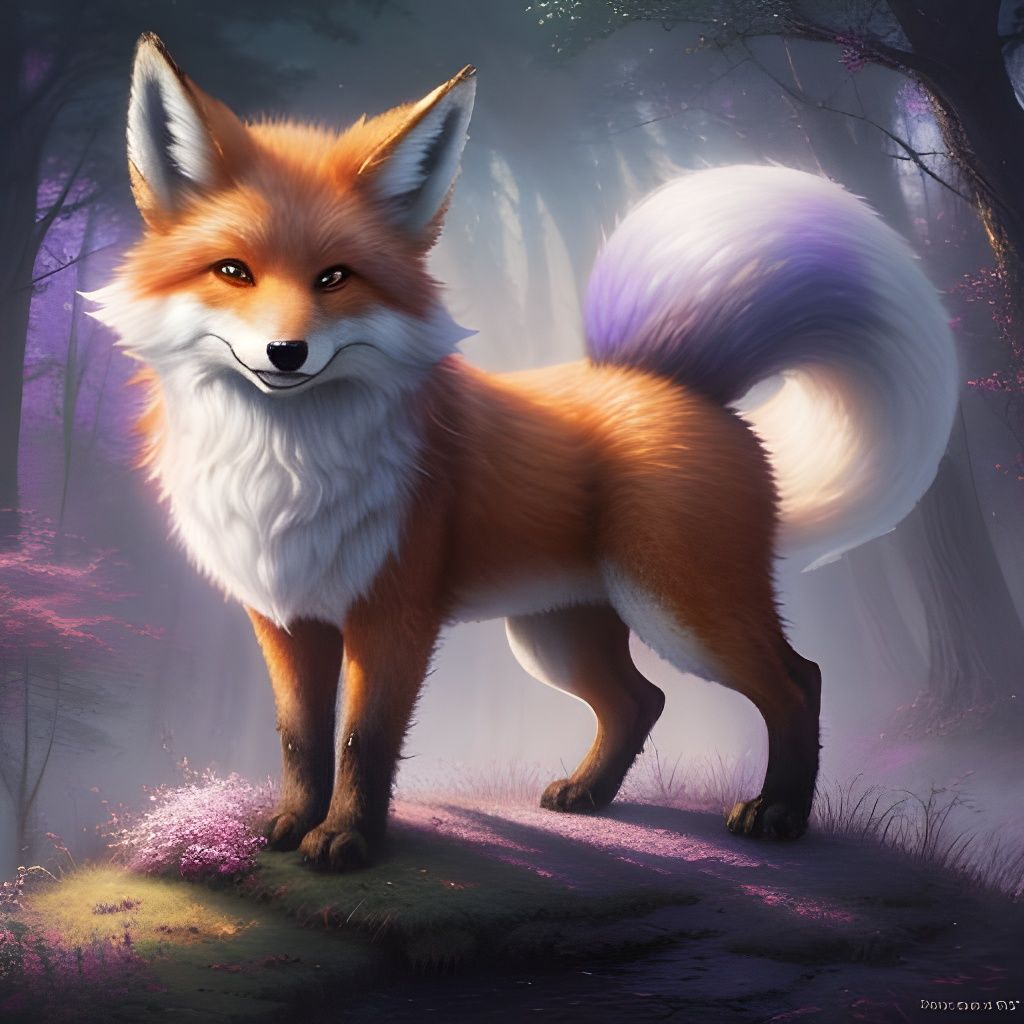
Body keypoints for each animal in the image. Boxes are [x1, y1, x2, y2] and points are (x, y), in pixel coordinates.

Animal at [88, 34, 957, 871]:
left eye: (335, 278)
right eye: (233, 271)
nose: (286, 353)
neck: (287, 467)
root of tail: (671, 378)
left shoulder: (394, 615)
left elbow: (363, 740)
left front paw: (347, 843)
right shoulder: (286, 617)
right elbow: (301, 739)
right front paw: (291, 825)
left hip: (682, 612)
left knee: (797, 681)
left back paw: (779, 814)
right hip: (556, 637)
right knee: (641, 701)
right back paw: (589, 794)